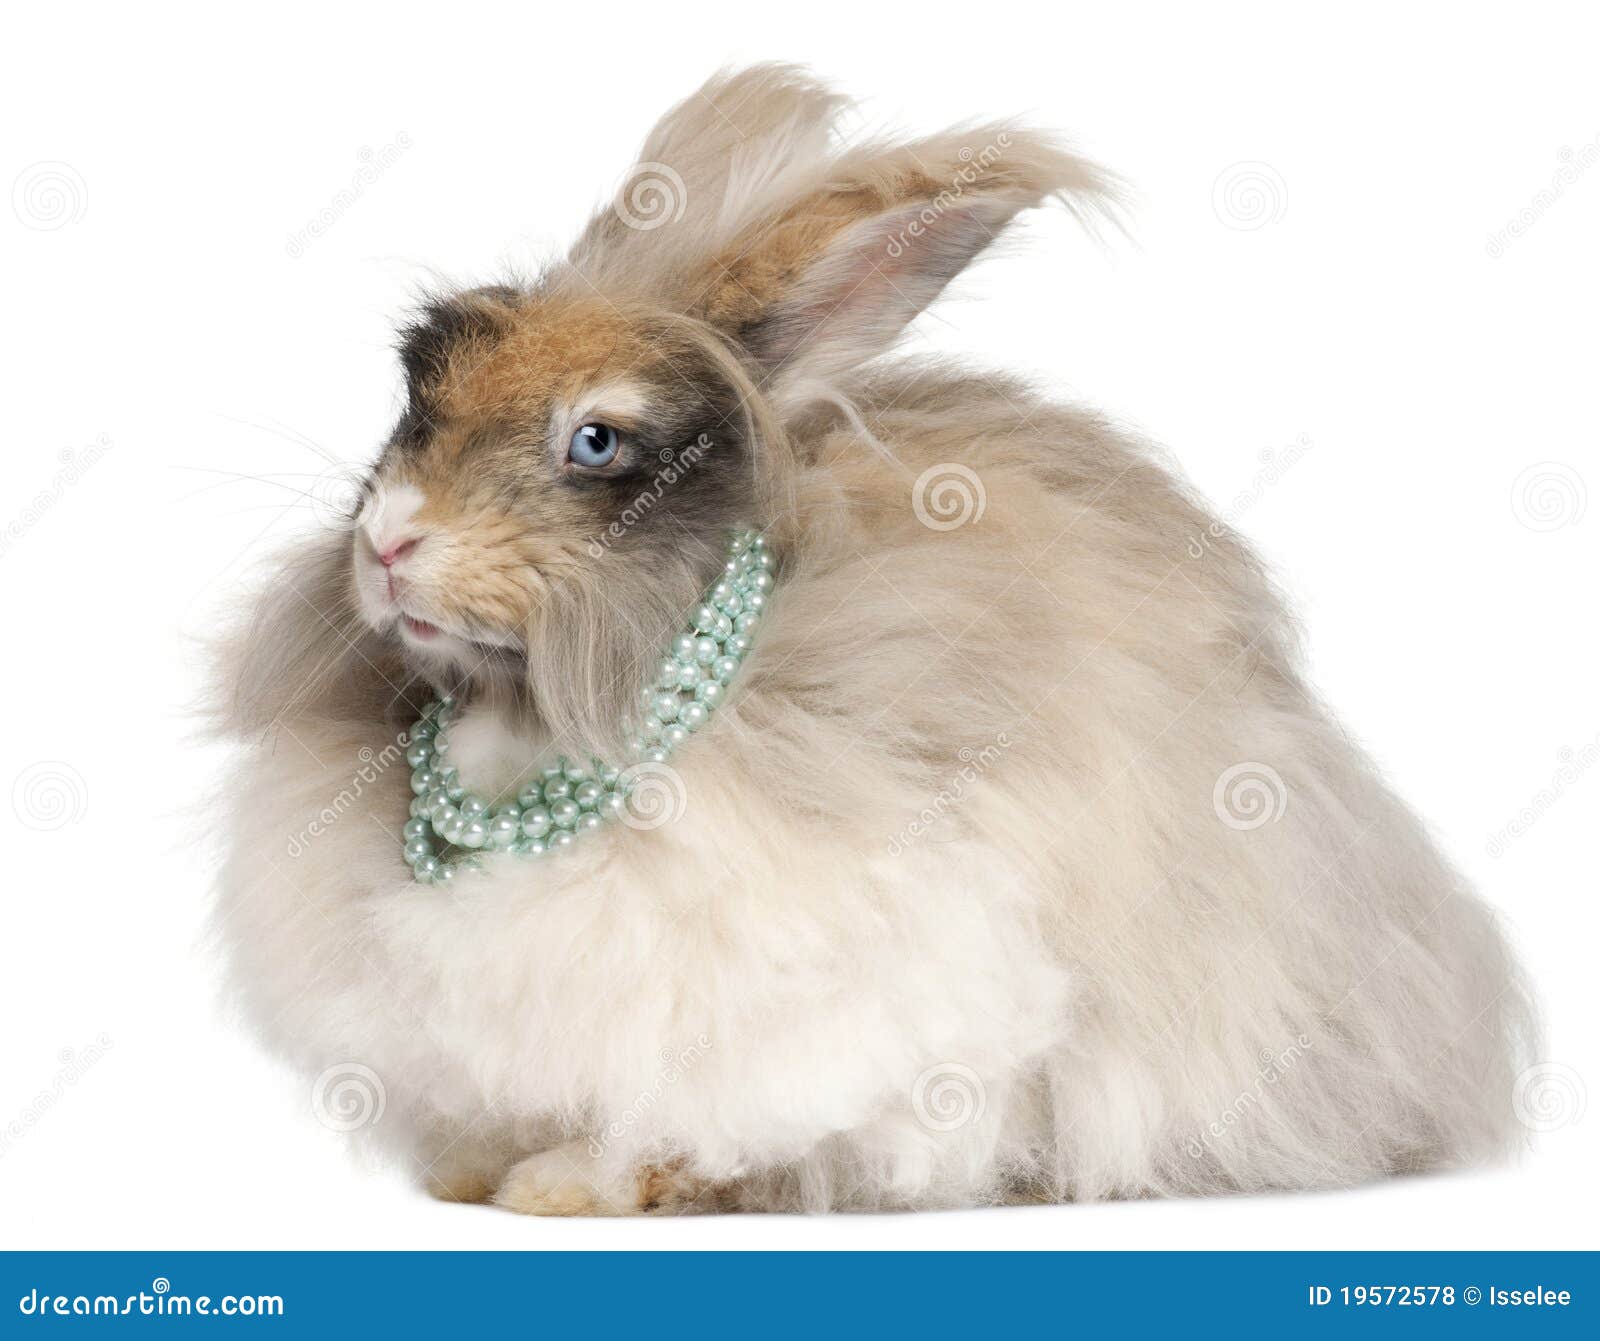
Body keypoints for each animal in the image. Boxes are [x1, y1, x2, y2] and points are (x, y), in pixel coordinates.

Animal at [211, 64, 1533, 1215]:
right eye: (413, 396)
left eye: (596, 442)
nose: (390, 541)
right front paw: (472, 1174)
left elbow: (694, 1118)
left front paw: (566, 1188)